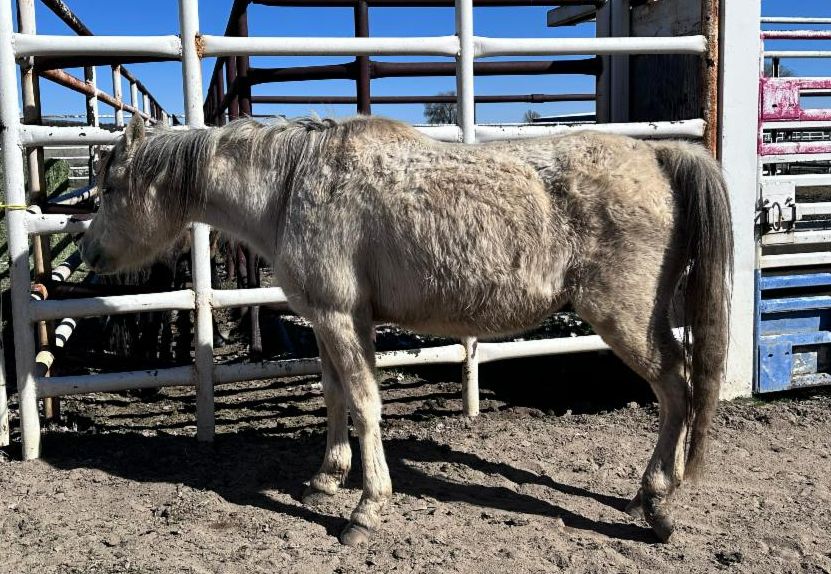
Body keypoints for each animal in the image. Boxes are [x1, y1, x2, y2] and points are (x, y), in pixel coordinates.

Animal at [79, 113, 733, 545]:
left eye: (110, 187)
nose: (85, 252)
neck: (293, 185)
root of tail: (658, 157)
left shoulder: (342, 318)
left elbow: (366, 405)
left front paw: (366, 509)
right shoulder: (329, 321)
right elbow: (336, 398)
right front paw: (327, 479)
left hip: (627, 321)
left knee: (676, 390)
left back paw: (657, 501)